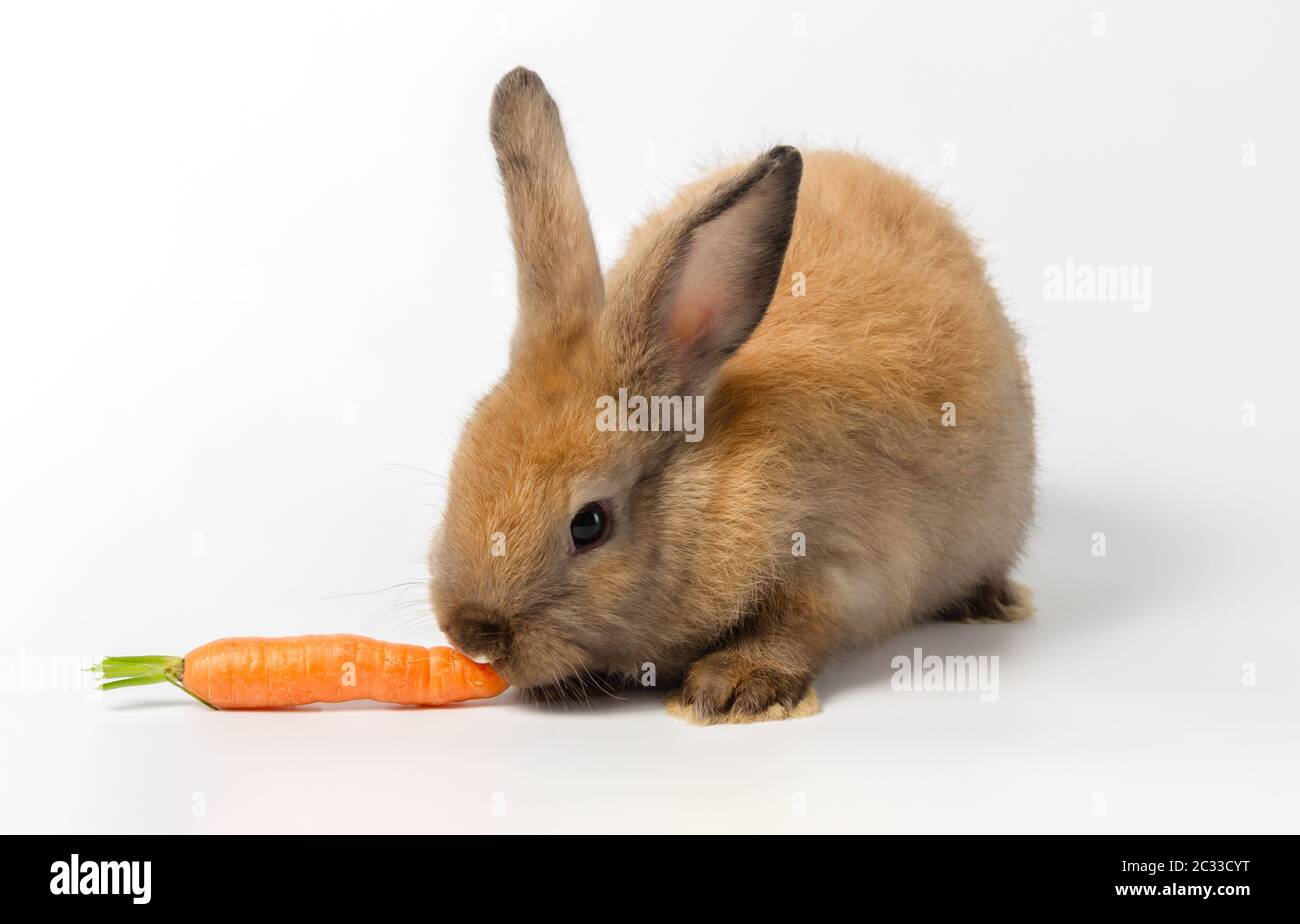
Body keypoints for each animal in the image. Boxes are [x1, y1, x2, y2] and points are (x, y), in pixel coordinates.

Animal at [429, 67, 1035, 723]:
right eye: (461, 463)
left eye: (589, 524)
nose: (474, 632)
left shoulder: (835, 564)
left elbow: (793, 626)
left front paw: (731, 691)